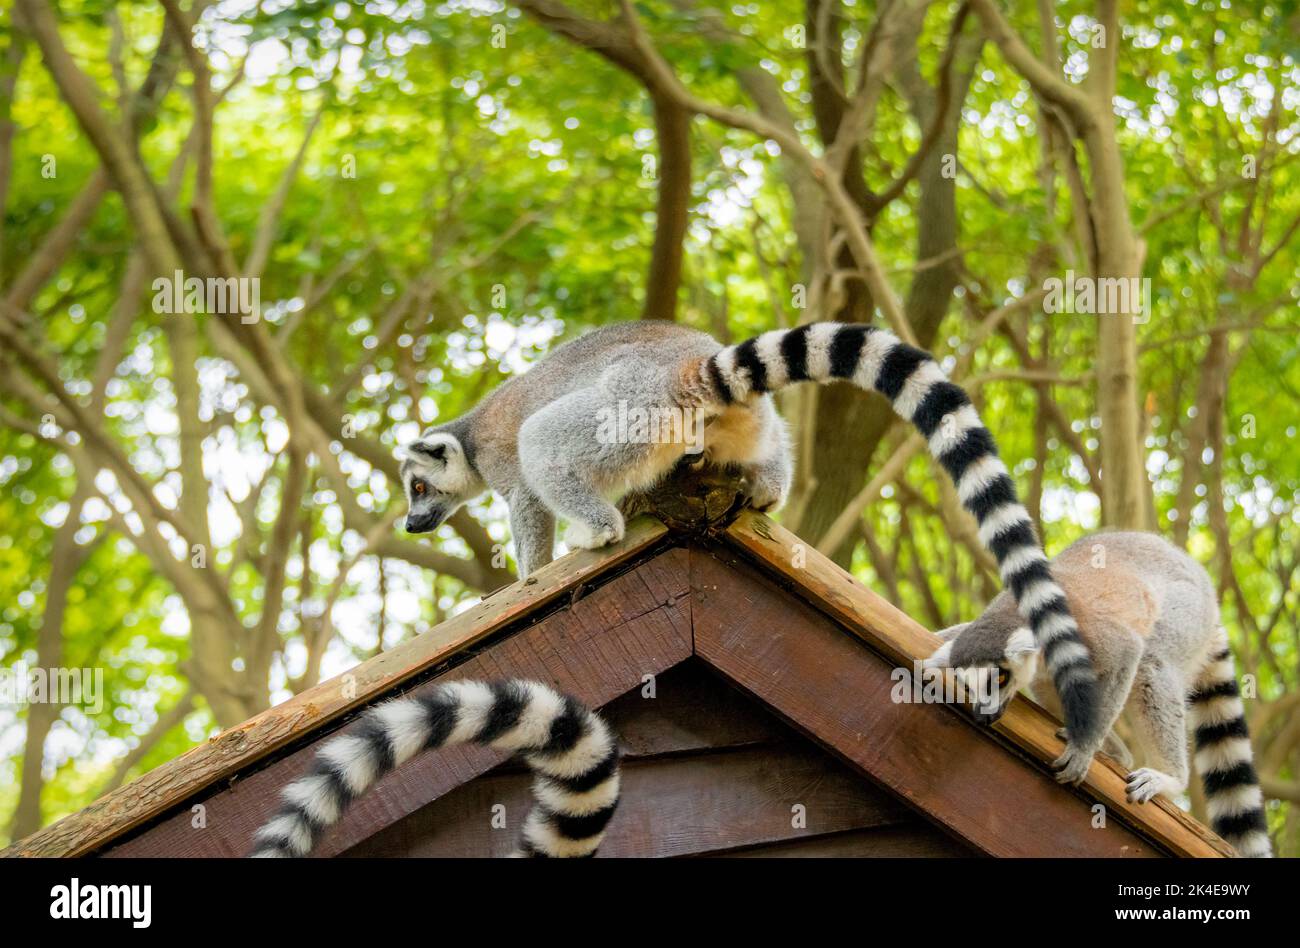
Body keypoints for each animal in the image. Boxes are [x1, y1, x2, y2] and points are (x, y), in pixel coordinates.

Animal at [399, 320, 1101, 779]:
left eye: (417, 486)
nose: (410, 524)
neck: (472, 439)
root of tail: (688, 369)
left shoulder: (504, 463)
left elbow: (527, 501)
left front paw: (531, 575)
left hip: (625, 414)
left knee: (544, 438)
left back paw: (599, 528)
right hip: (741, 424)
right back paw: (766, 486)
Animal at [923, 530, 1272, 857]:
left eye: (1000, 678)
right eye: (968, 686)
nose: (984, 715)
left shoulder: (1087, 631)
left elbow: (1126, 654)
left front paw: (1084, 747)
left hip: (1186, 613)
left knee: (1150, 661)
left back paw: (1169, 778)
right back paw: (1116, 752)